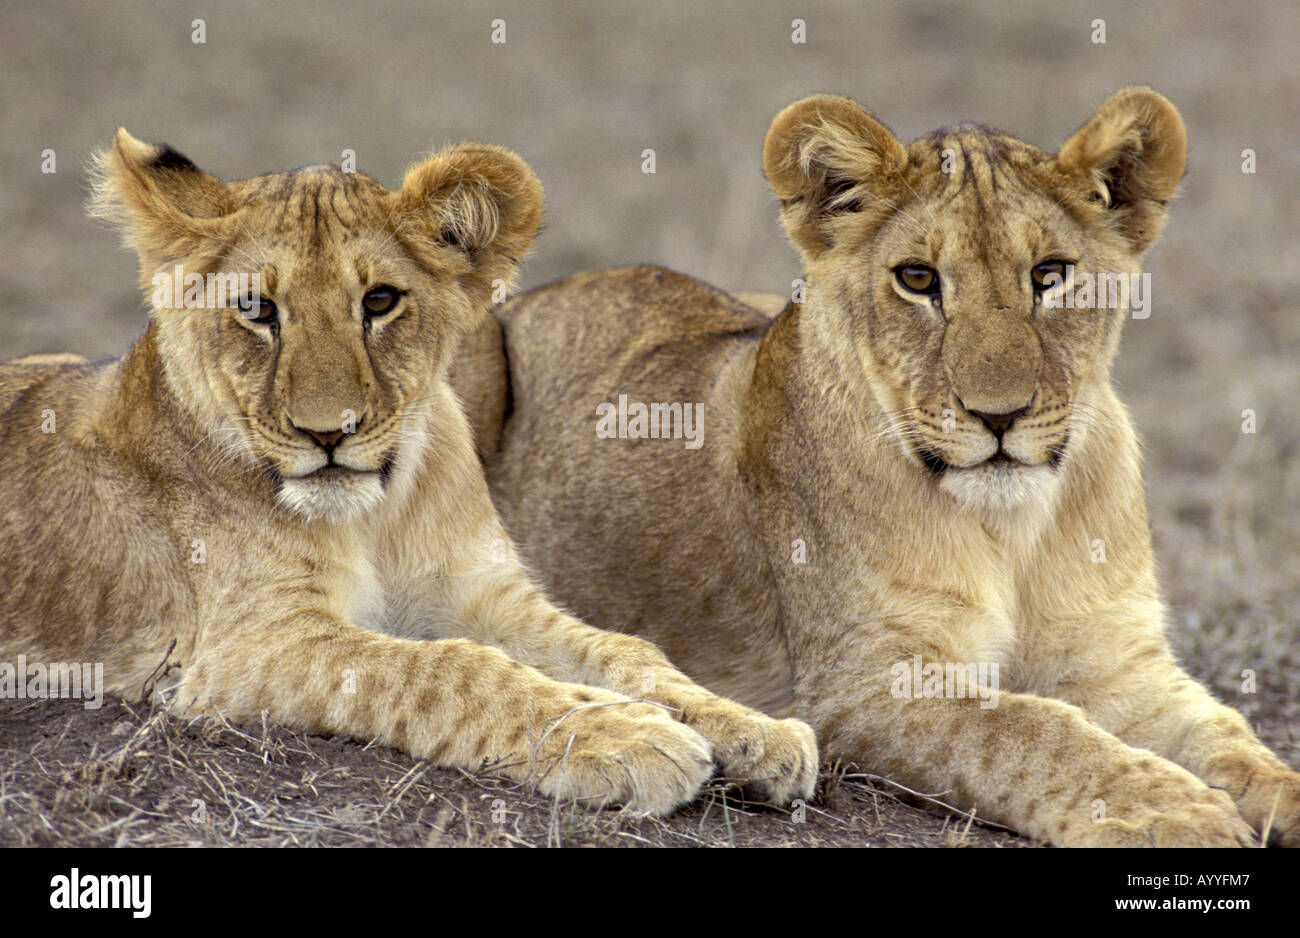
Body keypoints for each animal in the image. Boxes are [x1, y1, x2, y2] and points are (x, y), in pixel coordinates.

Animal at [0, 130, 818, 815]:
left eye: (381, 301)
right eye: (258, 308)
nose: (328, 432)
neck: (375, 516)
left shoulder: (484, 592)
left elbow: (623, 649)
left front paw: (757, 730)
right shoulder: (245, 649)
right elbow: (449, 669)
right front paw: (629, 737)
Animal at [454, 89, 1300, 846]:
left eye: (1051, 274)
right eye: (917, 279)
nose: (999, 416)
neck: (1014, 525)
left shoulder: (1119, 664)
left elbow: (1227, 735)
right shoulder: (868, 683)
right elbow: (1034, 732)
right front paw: (1173, 813)